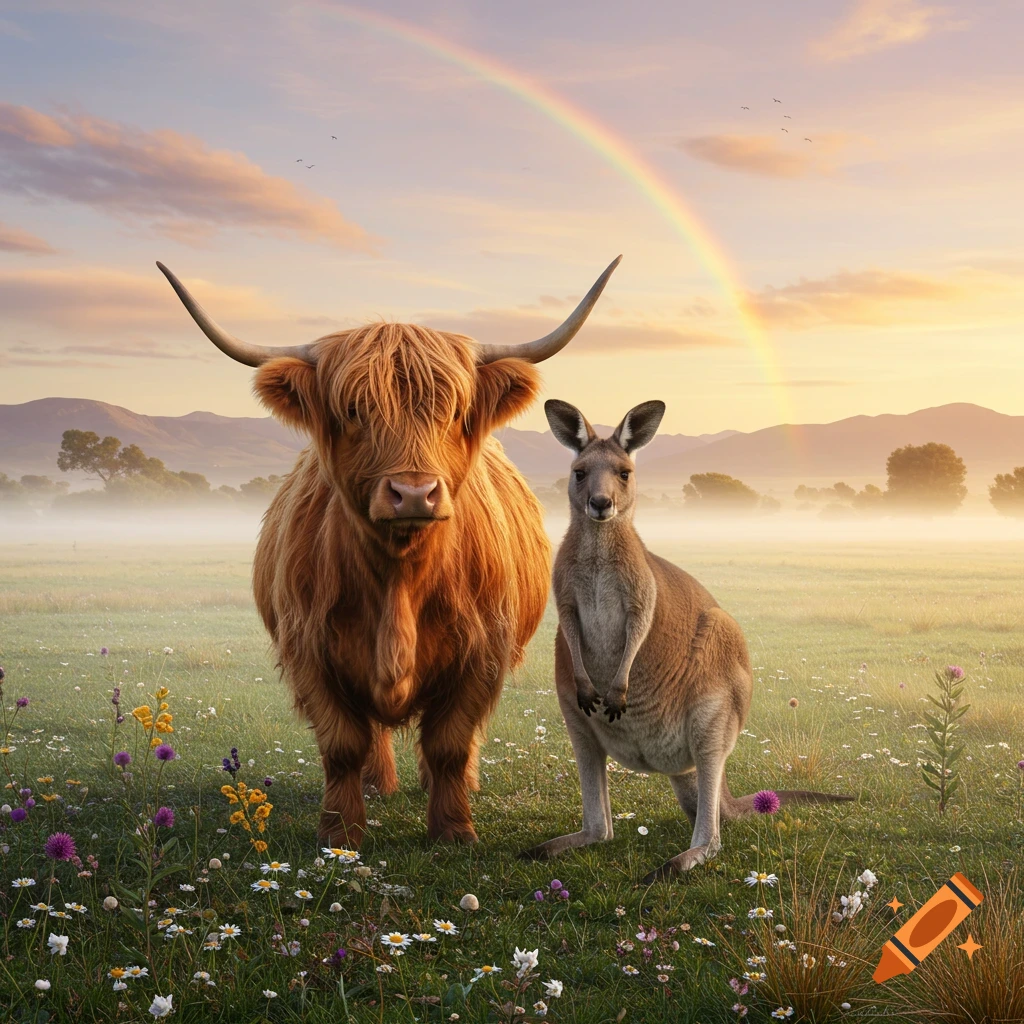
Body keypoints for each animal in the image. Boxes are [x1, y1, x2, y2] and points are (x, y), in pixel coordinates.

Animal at [157, 257, 621, 847]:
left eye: (453, 410)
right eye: (354, 409)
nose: (414, 493)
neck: (400, 579)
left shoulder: (482, 653)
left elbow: (449, 743)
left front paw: (453, 831)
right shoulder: (309, 649)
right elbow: (342, 744)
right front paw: (341, 833)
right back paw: (379, 784)